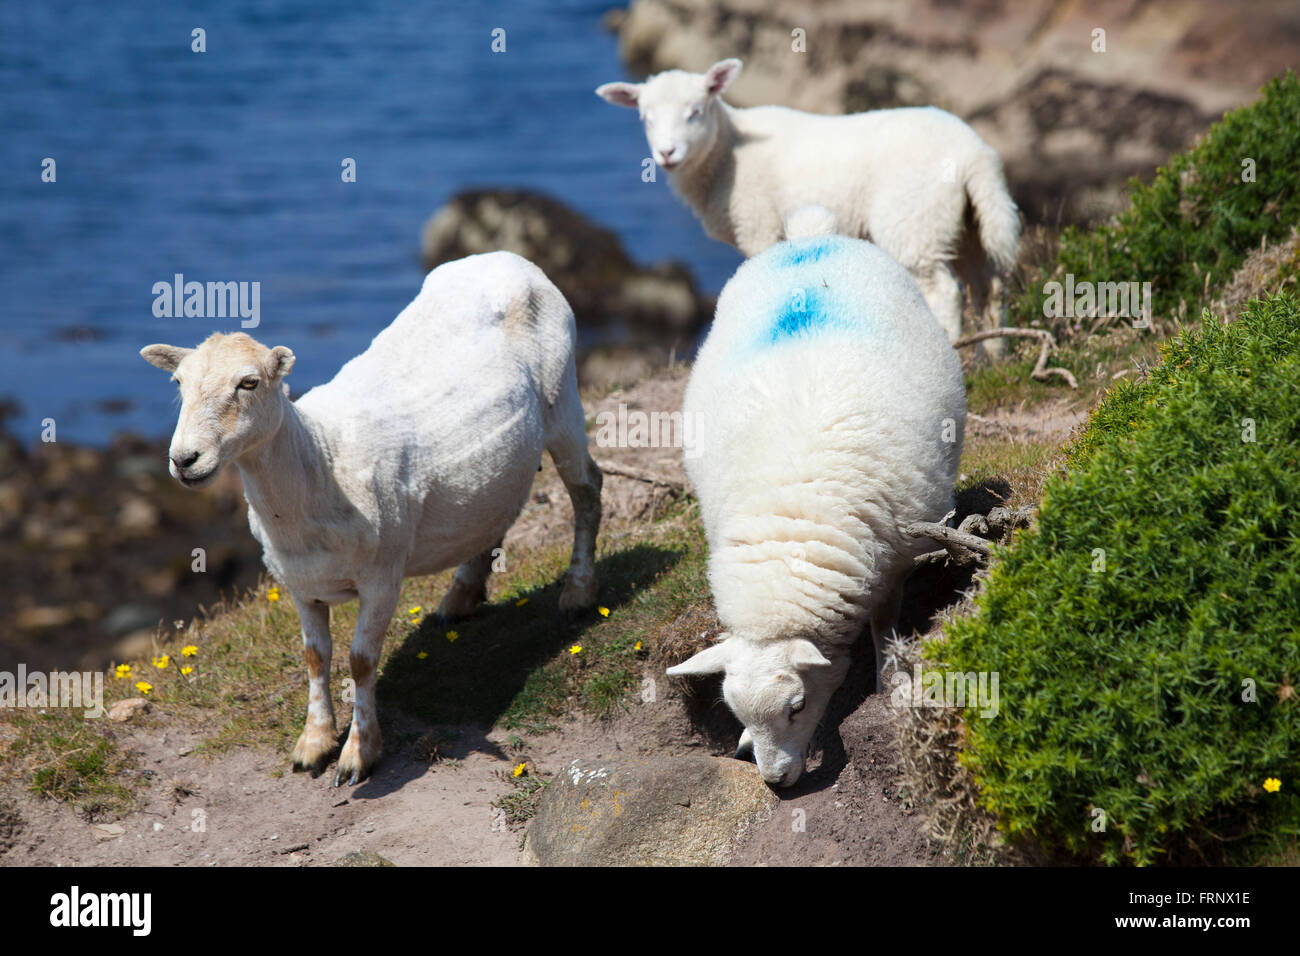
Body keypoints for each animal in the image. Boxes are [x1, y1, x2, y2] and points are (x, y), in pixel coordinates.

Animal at [141, 251, 603, 786]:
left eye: (249, 382)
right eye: (178, 384)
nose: (184, 460)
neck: (320, 463)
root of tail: (509, 258)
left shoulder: (382, 578)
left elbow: (361, 662)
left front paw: (360, 753)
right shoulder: (299, 584)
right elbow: (315, 657)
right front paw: (313, 743)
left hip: (563, 399)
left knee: (588, 489)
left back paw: (578, 591)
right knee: (496, 508)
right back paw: (463, 595)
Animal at [596, 58, 1020, 356]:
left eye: (695, 111)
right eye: (645, 118)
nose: (666, 153)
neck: (727, 153)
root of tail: (974, 155)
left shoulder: (758, 227)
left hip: (915, 219)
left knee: (944, 290)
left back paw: (956, 349)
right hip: (963, 221)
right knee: (990, 286)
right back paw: (992, 357)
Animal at [667, 207, 966, 787]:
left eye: (798, 706)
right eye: (734, 712)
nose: (775, 782)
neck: (790, 524)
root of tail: (811, 238)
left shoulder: (893, 557)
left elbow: (883, 620)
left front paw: (887, 678)